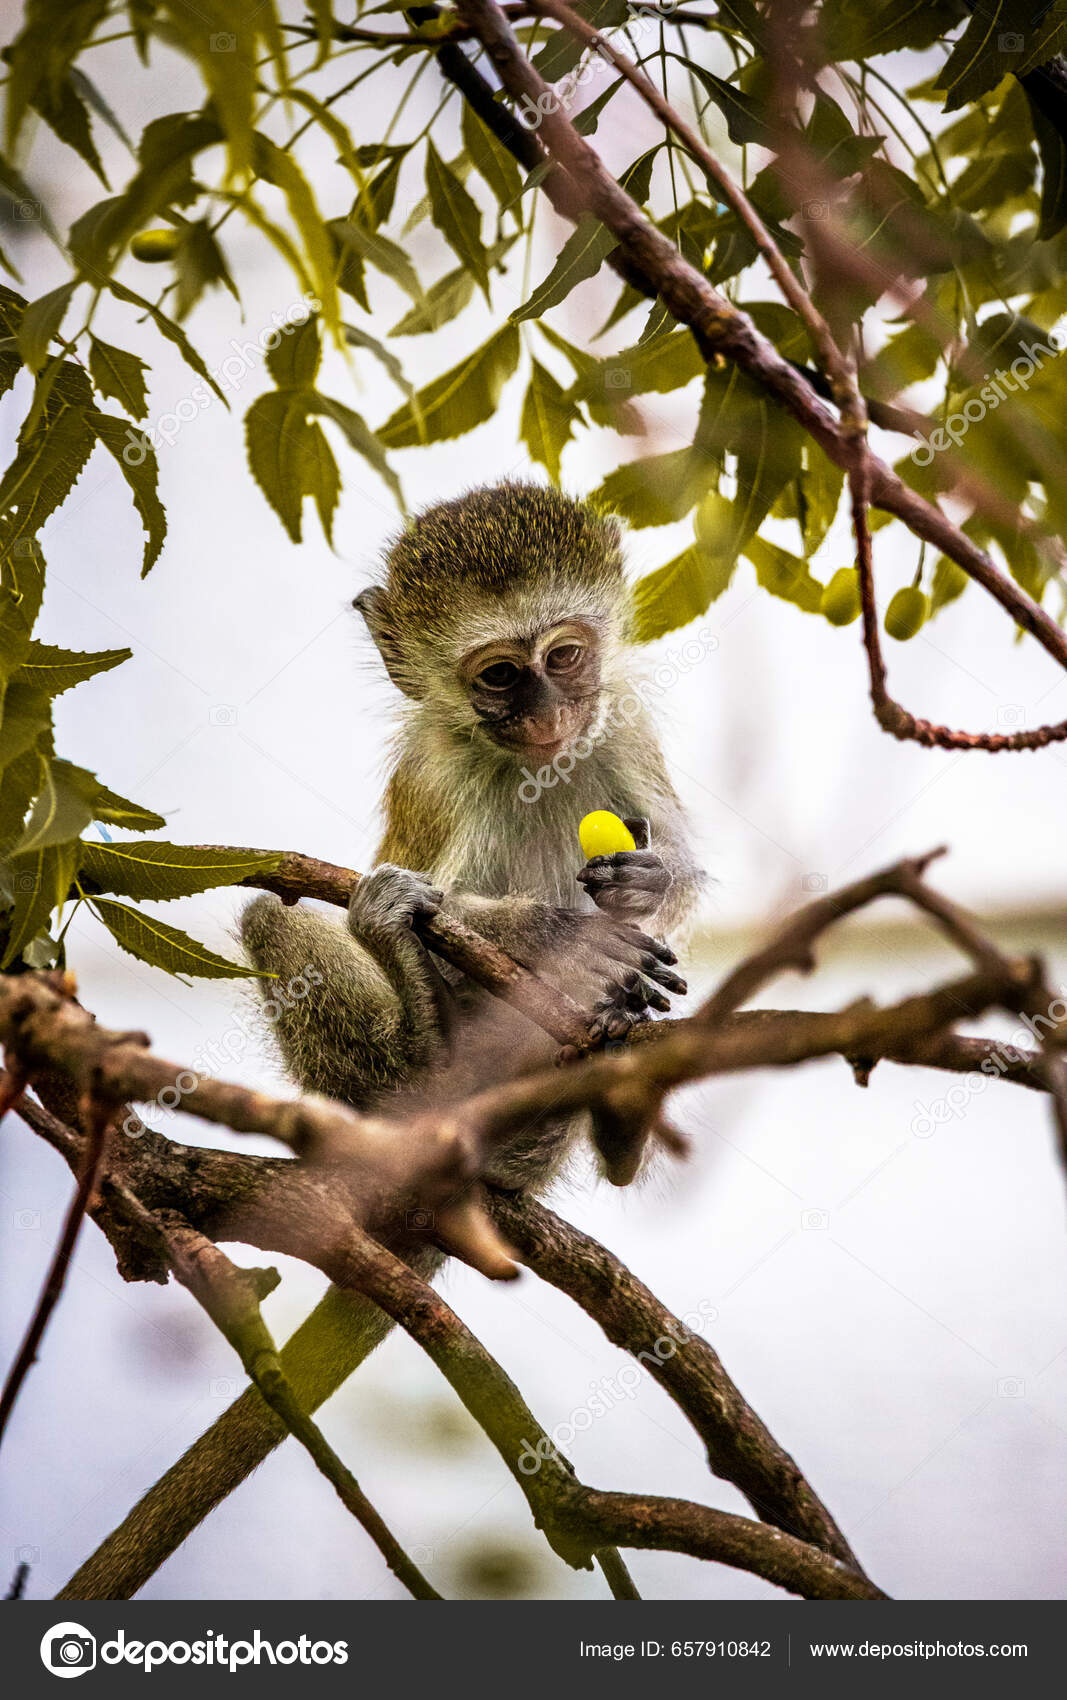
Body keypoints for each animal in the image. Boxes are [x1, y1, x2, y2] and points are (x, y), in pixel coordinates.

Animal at [59, 483, 706, 1600]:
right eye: (499, 676)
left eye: (565, 655)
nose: (547, 715)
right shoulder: (441, 778)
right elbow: (445, 904)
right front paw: (554, 937)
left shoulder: (620, 728)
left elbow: (681, 869)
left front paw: (636, 898)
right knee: (288, 921)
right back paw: (422, 1024)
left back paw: (616, 1112)